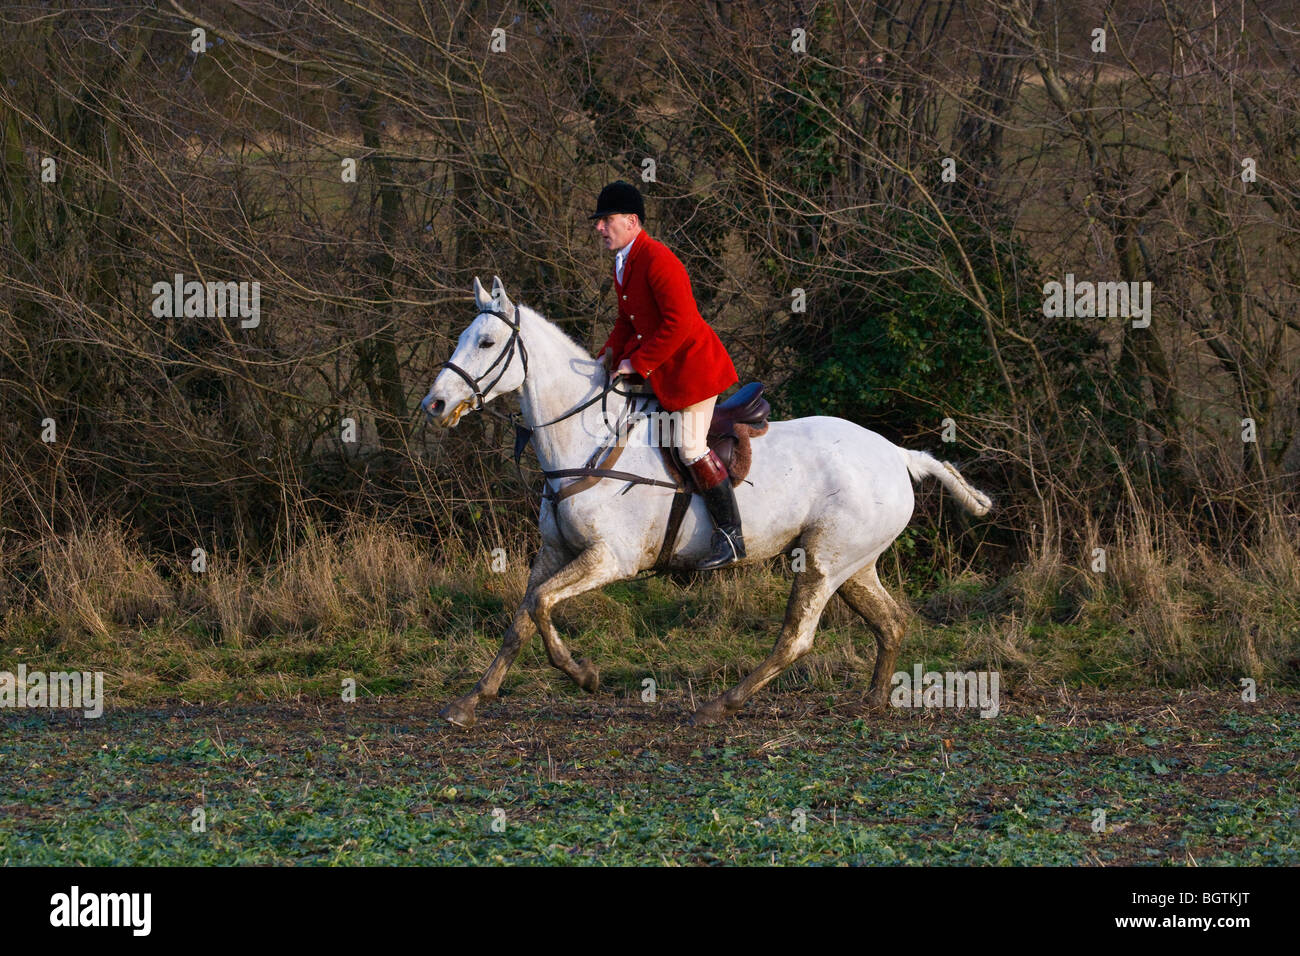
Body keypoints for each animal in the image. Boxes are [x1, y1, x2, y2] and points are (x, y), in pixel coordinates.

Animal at [424, 276, 992, 727]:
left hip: (824, 562)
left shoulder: (611, 559)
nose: (435, 404)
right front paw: (470, 702)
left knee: (797, 638)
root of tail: (896, 454)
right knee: (890, 622)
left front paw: (583, 675)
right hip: (853, 563)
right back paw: (873, 699)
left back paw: (721, 705)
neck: (589, 440)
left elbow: (541, 606)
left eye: (487, 341)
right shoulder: (556, 554)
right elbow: (522, 617)